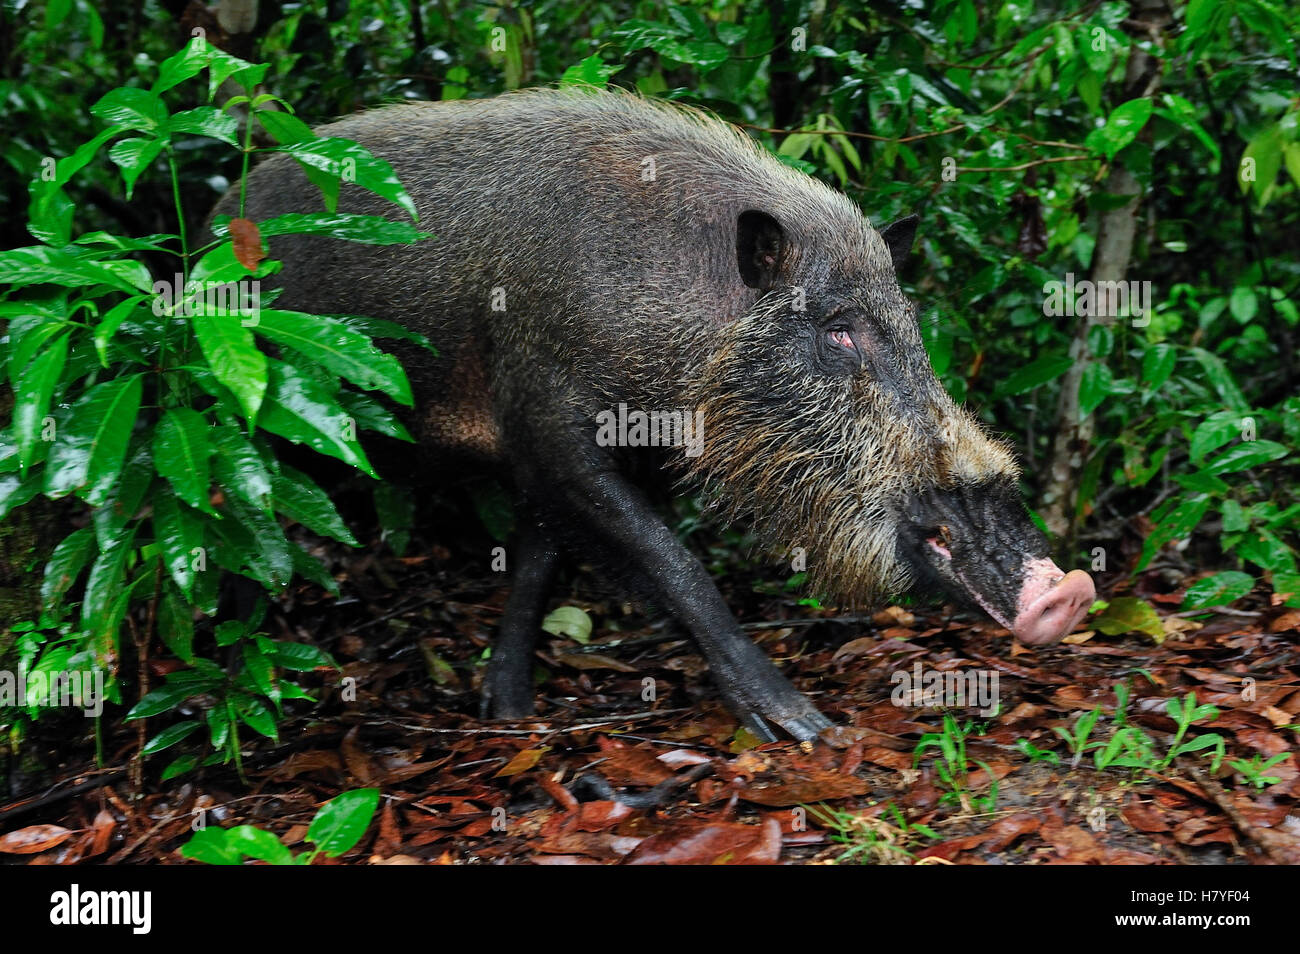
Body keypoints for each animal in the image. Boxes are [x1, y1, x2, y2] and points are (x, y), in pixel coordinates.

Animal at [217, 89, 1095, 741]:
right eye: (839, 329)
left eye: (911, 324)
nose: (1069, 589)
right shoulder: (549, 425)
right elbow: (673, 562)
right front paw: (806, 728)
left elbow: (538, 564)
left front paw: (511, 715)